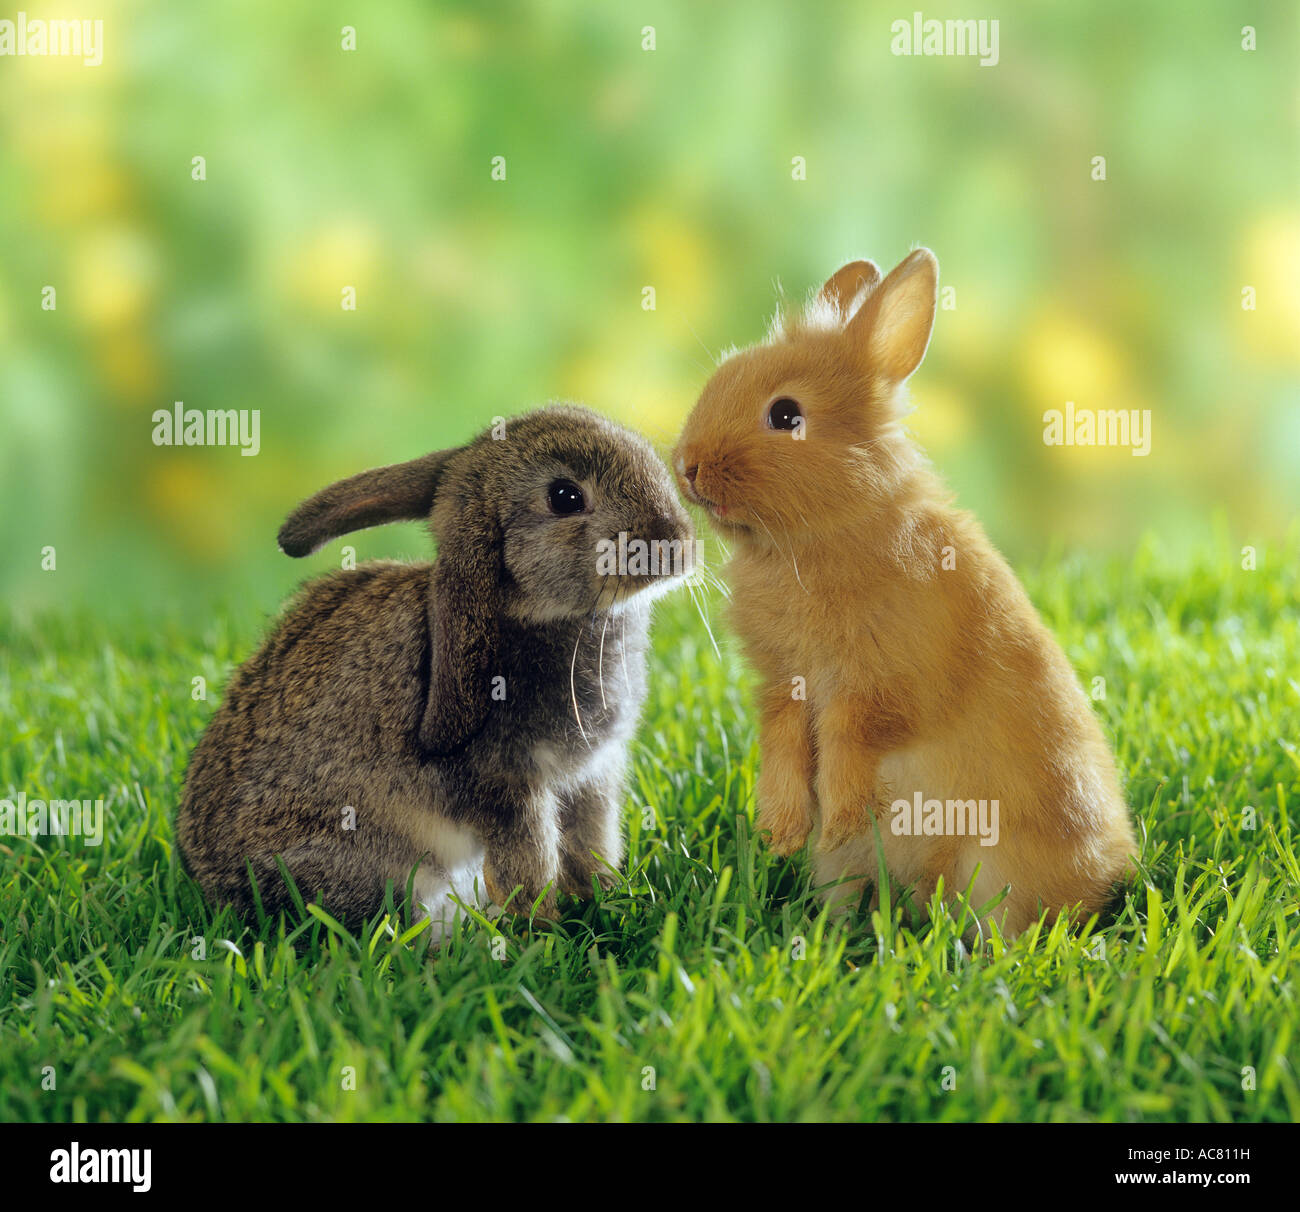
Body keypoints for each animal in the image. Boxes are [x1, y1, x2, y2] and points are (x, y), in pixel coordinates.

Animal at [177, 404, 695, 937]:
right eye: (565, 497)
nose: (676, 543)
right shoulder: (508, 786)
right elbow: (530, 866)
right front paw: (545, 931)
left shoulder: (592, 777)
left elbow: (592, 844)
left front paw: (605, 900)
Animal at [672, 250, 1137, 938]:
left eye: (785, 415)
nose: (687, 466)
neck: (830, 529)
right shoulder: (784, 686)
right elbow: (785, 745)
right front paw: (782, 830)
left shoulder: (879, 685)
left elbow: (849, 739)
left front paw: (835, 812)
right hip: (848, 869)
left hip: (995, 870)